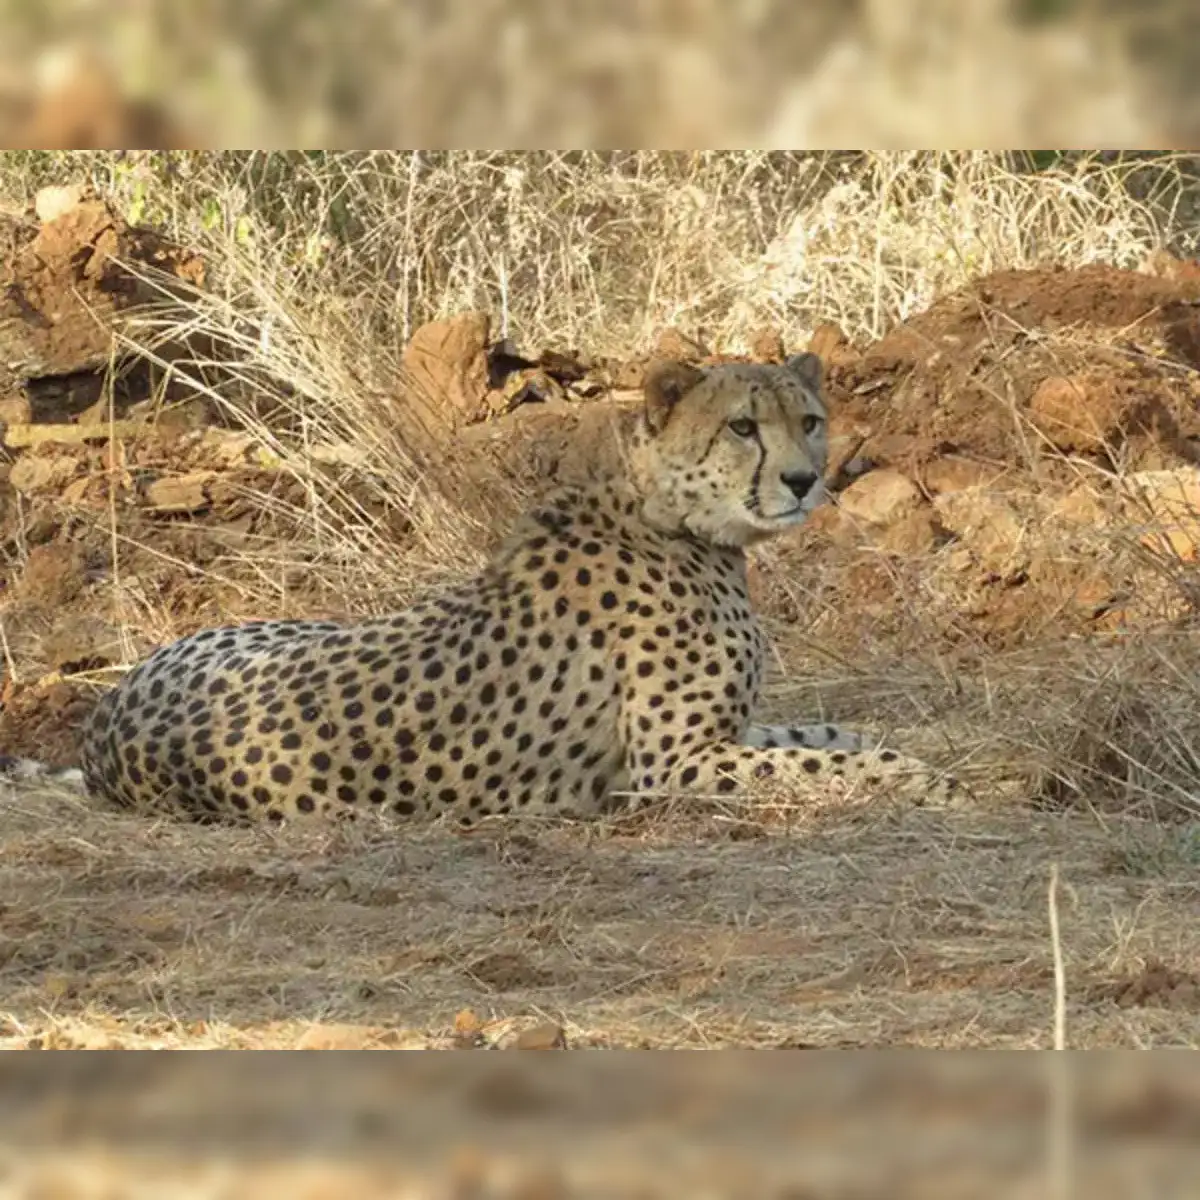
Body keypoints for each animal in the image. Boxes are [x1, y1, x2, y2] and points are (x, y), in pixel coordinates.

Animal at [0, 352, 961, 825]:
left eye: (810, 420)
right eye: (741, 428)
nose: (804, 479)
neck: (673, 517)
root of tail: (104, 721)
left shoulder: (723, 732)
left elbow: (830, 733)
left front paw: (917, 754)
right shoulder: (672, 762)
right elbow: (824, 761)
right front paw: (926, 781)